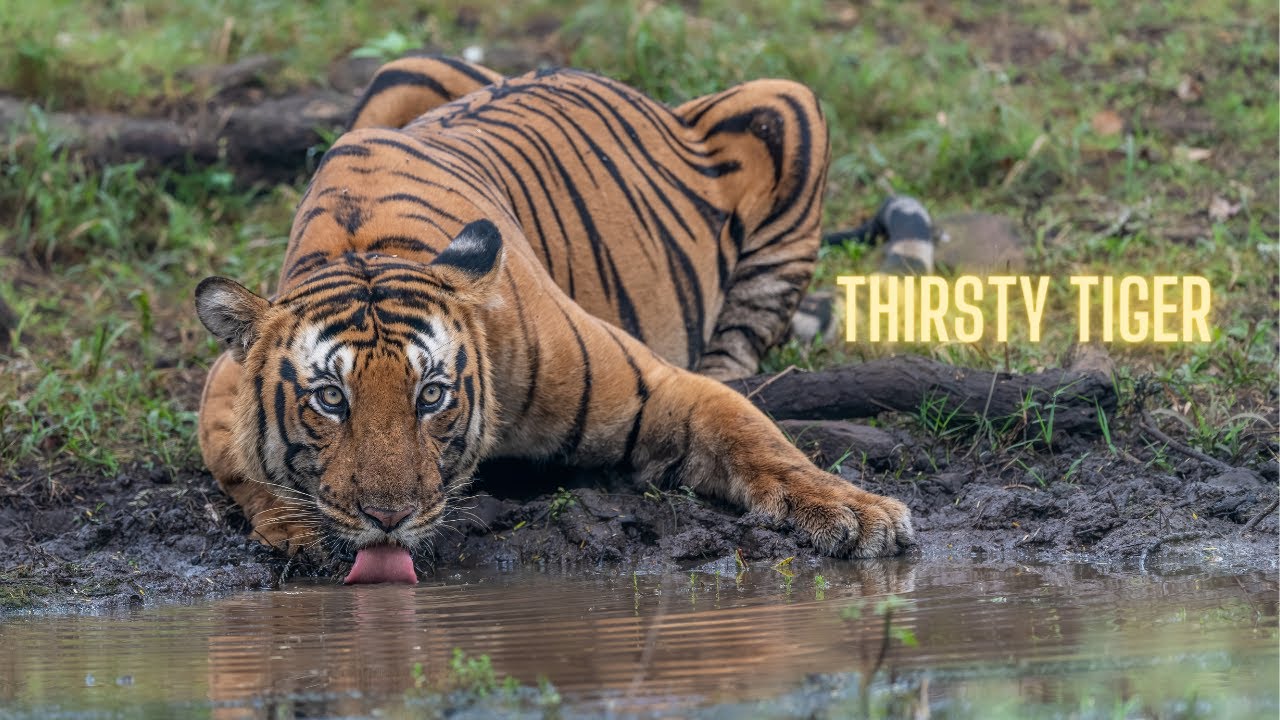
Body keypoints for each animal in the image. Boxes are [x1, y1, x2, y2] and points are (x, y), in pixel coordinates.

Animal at [195, 56, 913, 584]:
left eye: (431, 396)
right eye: (330, 400)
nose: (389, 516)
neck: (363, 246)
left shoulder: (659, 384)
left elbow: (754, 436)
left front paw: (857, 512)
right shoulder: (222, 386)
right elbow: (240, 468)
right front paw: (299, 529)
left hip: (786, 103)